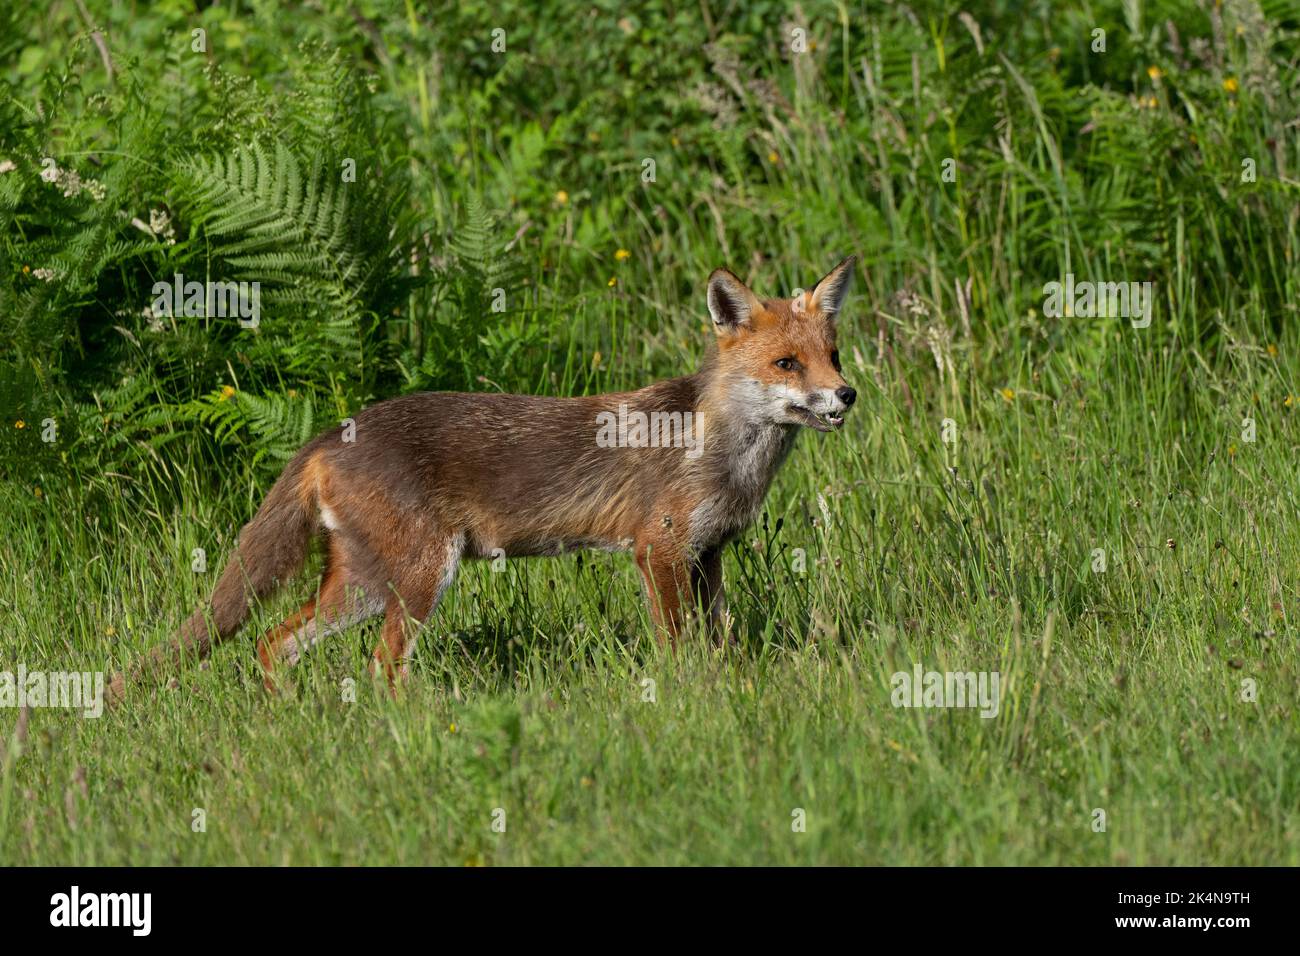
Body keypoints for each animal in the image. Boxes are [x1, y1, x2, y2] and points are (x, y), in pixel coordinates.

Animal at [106, 256, 859, 704]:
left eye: (834, 355)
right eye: (787, 364)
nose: (847, 395)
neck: (719, 450)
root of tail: (330, 432)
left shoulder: (709, 556)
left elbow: (719, 643)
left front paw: (726, 690)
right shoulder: (661, 551)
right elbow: (679, 649)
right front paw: (688, 702)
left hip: (365, 586)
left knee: (272, 644)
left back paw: (287, 719)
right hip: (420, 577)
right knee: (380, 667)